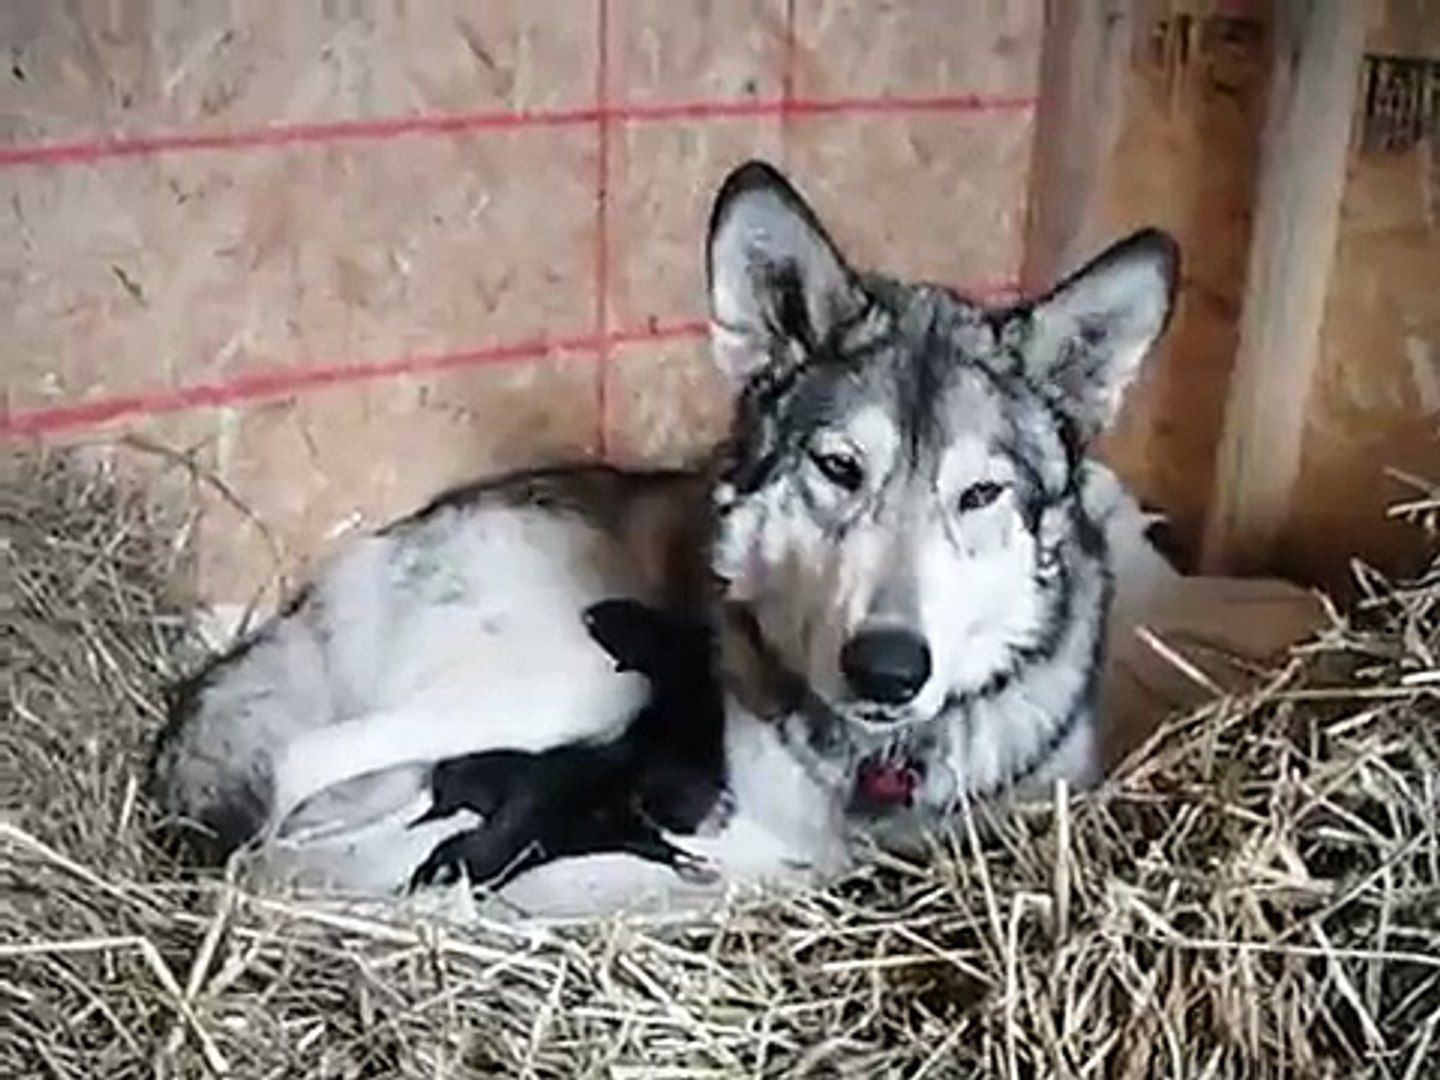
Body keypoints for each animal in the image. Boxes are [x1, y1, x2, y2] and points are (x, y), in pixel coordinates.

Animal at [148, 159, 1180, 917]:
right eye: (839, 468)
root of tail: (350, 569)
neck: (890, 768)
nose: (888, 668)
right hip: (572, 684)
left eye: (980, 494)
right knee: (303, 778)